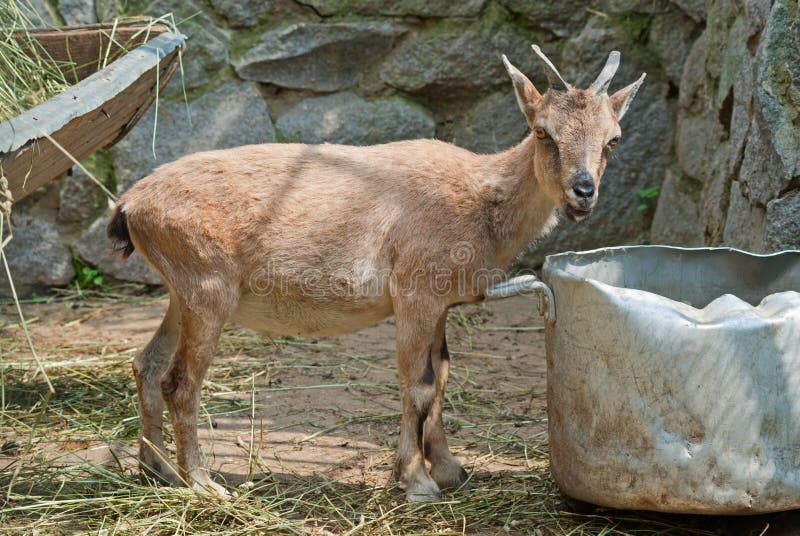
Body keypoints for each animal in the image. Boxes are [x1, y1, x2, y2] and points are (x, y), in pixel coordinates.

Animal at [108, 45, 644, 502]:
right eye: (542, 131)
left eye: (613, 139)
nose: (583, 192)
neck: (479, 201)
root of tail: (130, 205)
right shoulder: (414, 292)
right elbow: (418, 382)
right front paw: (417, 482)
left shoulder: (441, 301)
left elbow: (441, 376)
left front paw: (450, 470)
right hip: (208, 290)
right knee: (179, 381)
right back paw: (202, 483)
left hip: (180, 293)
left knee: (146, 364)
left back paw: (155, 470)